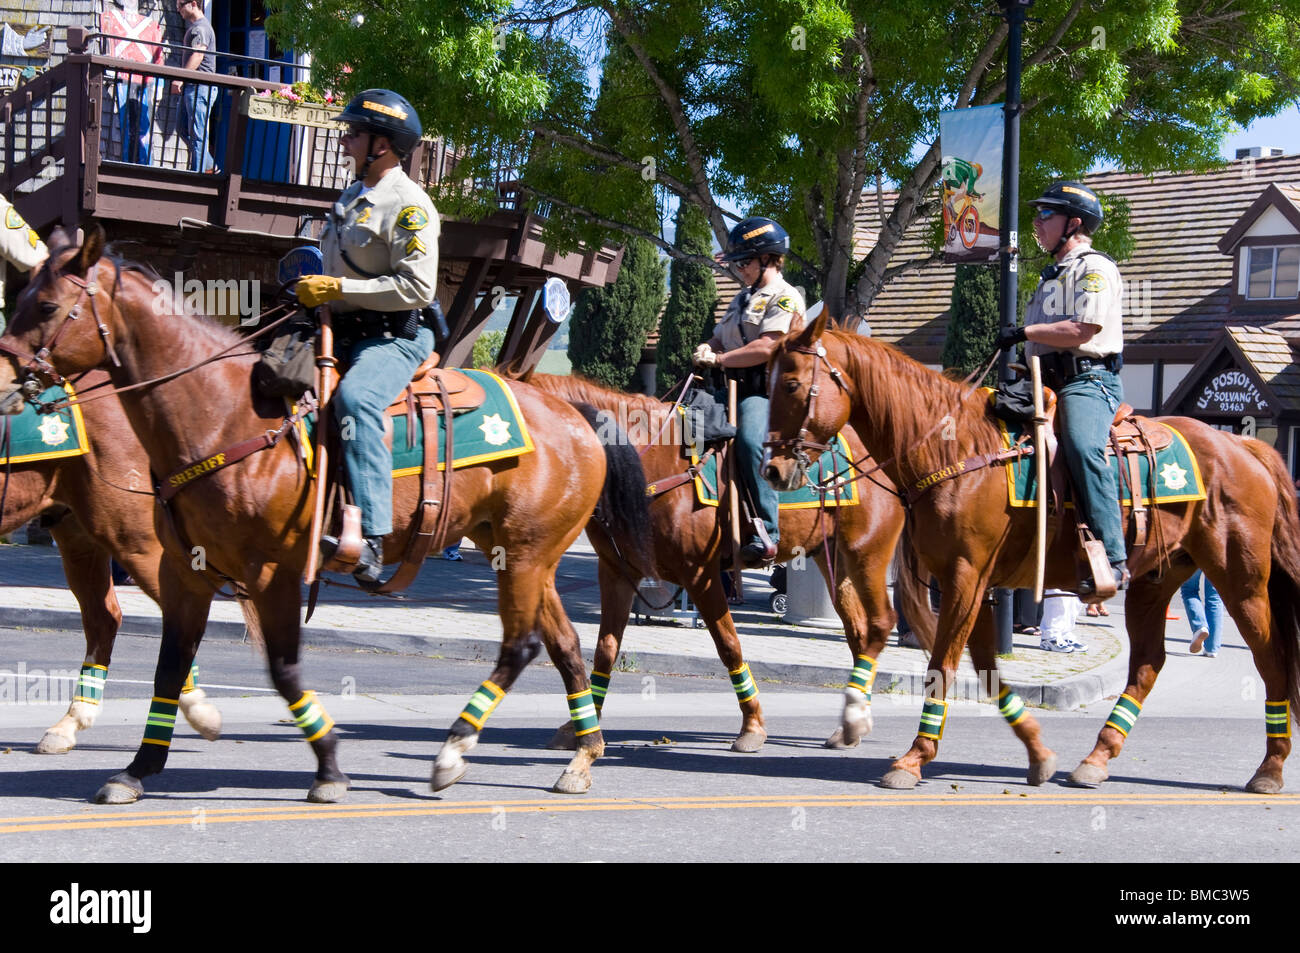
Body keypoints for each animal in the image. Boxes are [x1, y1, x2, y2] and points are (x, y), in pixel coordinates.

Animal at [529, 373, 935, 751]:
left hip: (867, 554)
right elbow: (605, 650)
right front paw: (580, 730)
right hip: (833, 559)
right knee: (860, 633)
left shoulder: (700, 575)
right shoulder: (616, 571)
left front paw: (752, 727)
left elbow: (729, 645)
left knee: (877, 625)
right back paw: (852, 724)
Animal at [763, 314, 1300, 793]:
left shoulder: (965, 579)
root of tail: (1240, 444)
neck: (954, 450)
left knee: (1271, 658)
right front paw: (1038, 753)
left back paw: (1270, 768)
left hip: (1241, 580)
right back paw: (1096, 759)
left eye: (790, 384)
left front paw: (913, 759)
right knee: (1148, 664)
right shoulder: (973, 584)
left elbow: (942, 666)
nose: (773, 469)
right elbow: (986, 671)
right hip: (1156, 580)